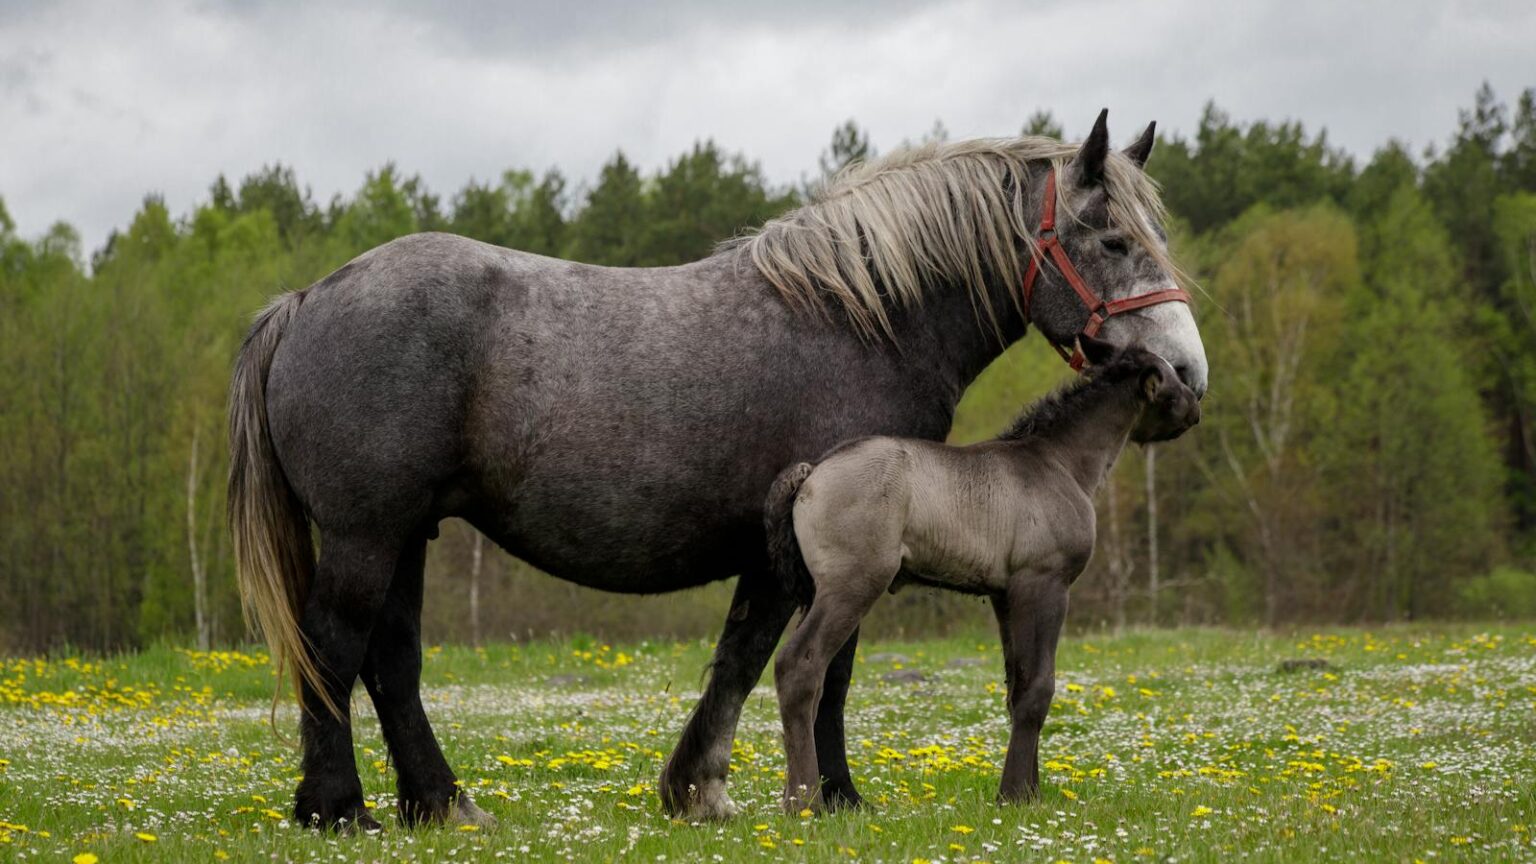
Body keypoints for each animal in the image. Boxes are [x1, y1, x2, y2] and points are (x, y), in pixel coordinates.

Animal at [764, 339, 1200, 813]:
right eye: (1172, 376)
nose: (1196, 406)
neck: (1060, 463)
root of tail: (811, 473)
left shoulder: (1004, 596)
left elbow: (1017, 686)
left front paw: (1030, 791)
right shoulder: (1044, 583)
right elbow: (1038, 689)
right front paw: (1014, 794)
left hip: (815, 592)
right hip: (851, 586)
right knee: (799, 666)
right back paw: (804, 801)